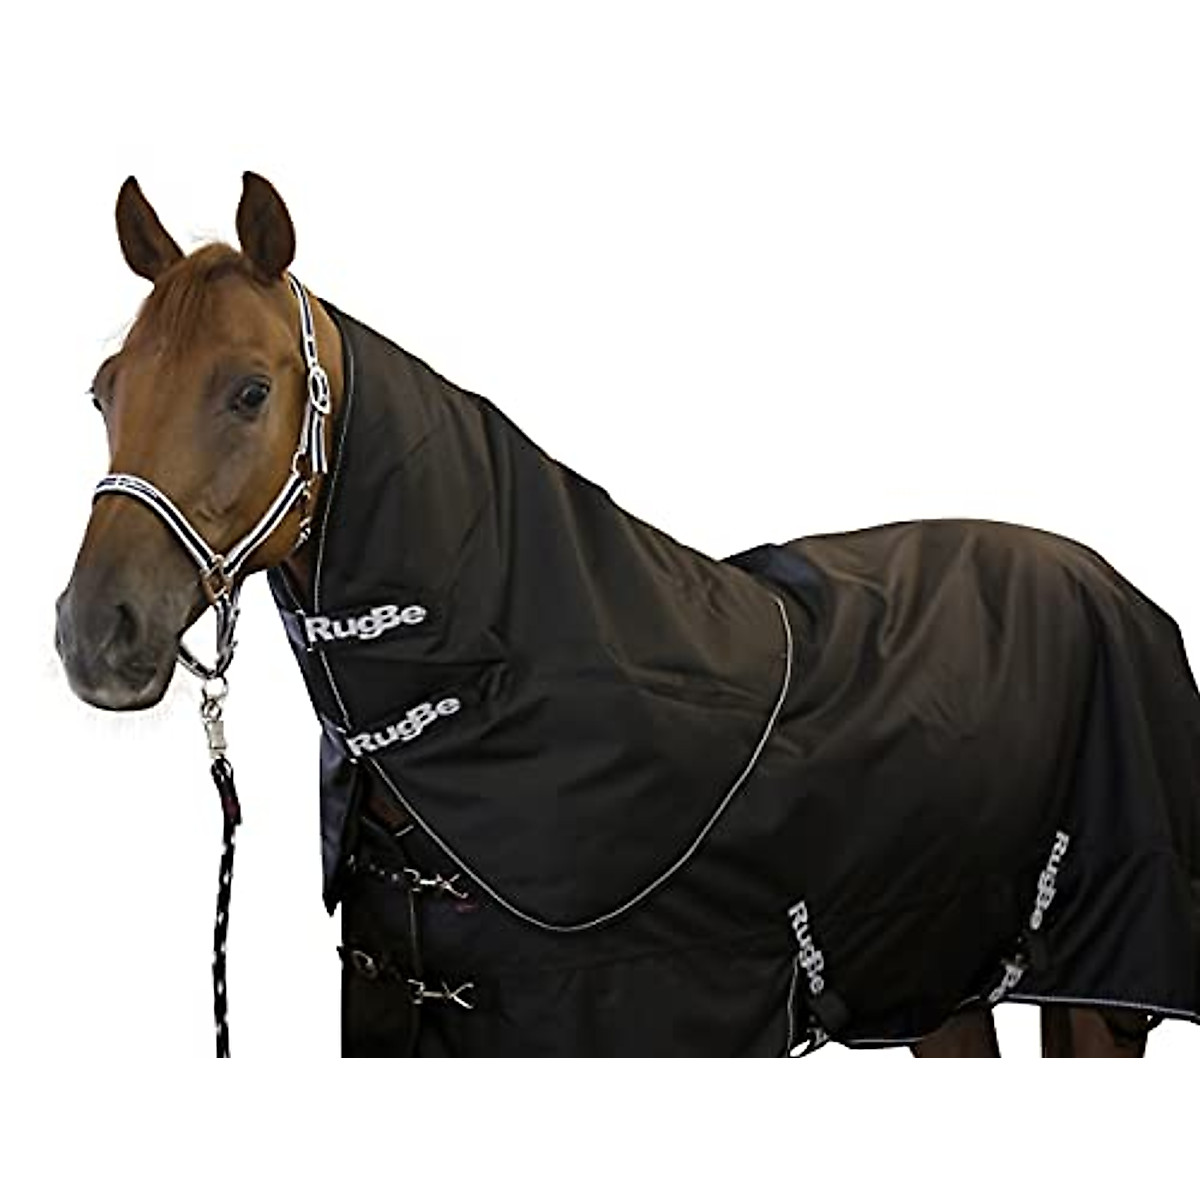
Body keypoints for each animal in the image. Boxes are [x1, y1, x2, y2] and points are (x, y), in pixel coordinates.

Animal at [56, 173, 1200, 1057]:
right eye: (105, 390)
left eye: (250, 392)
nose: (95, 633)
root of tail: (1113, 582)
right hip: (937, 983)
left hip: (1097, 982)